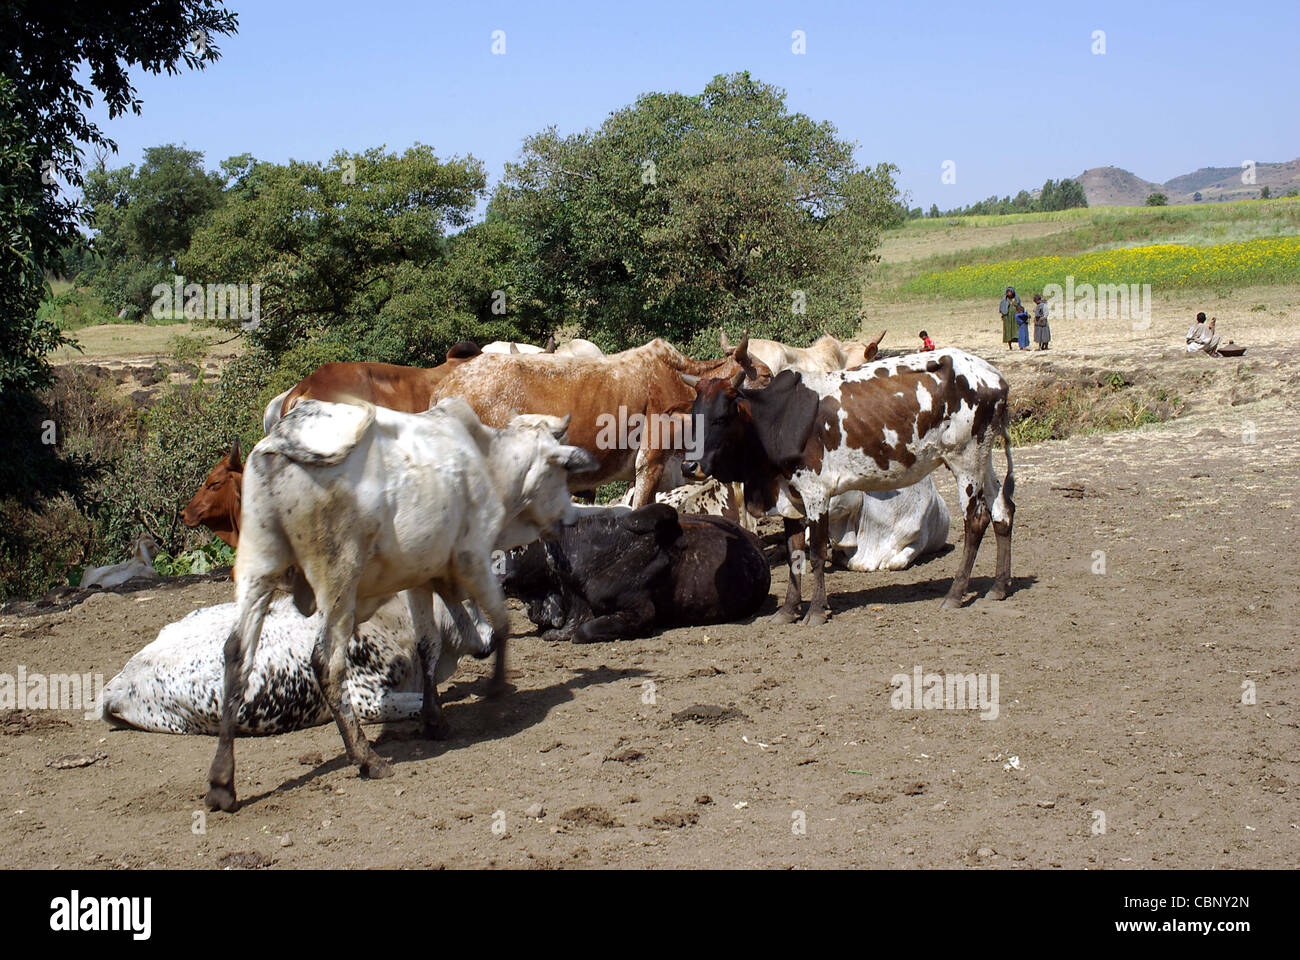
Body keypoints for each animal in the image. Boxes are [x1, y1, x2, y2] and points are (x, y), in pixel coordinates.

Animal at [203, 397, 598, 811]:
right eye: (562, 472)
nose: (571, 517)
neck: (487, 459)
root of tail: (282, 435)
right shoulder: (473, 558)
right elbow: (502, 624)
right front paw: (496, 696)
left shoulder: (419, 579)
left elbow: (428, 645)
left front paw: (434, 720)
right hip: (339, 579)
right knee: (326, 661)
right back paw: (366, 758)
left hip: (257, 570)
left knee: (237, 655)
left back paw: (222, 782)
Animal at [685, 348, 1014, 623]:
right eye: (693, 417)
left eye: (721, 418)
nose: (690, 466)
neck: (777, 421)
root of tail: (995, 376)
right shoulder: (789, 497)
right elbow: (794, 555)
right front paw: (788, 611)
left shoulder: (816, 494)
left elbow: (816, 553)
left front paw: (817, 611)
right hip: (984, 460)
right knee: (1003, 511)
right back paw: (999, 587)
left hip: (965, 460)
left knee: (976, 521)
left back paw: (955, 594)